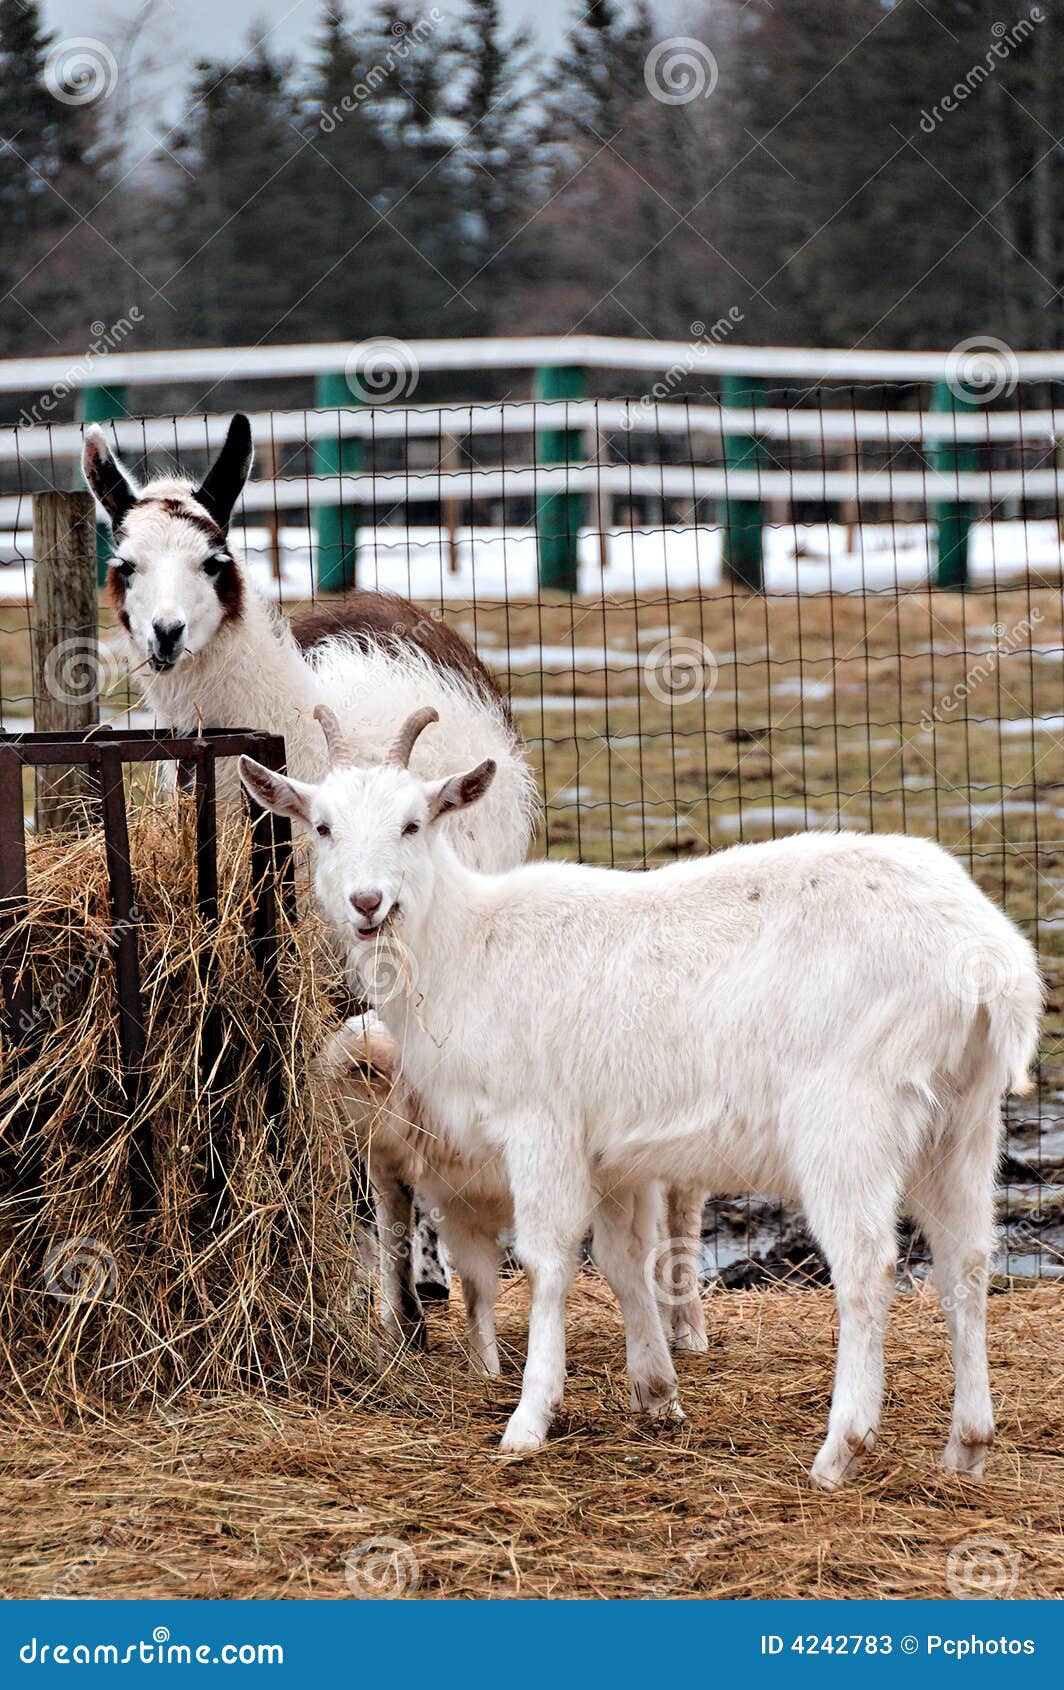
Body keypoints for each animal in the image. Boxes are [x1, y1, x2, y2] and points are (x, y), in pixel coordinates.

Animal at [240, 706, 1041, 1487]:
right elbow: (625, 1261)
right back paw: (968, 1446)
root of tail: (986, 961)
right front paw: (657, 1394)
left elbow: (549, 1261)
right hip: (962, 1119)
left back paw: (840, 1448)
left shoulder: (541, 1123)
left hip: (851, 1114)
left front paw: (529, 1420)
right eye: (322, 826)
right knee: (967, 1258)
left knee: (868, 1264)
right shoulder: (612, 1155)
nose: (367, 902)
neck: (468, 946)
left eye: (414, 822)